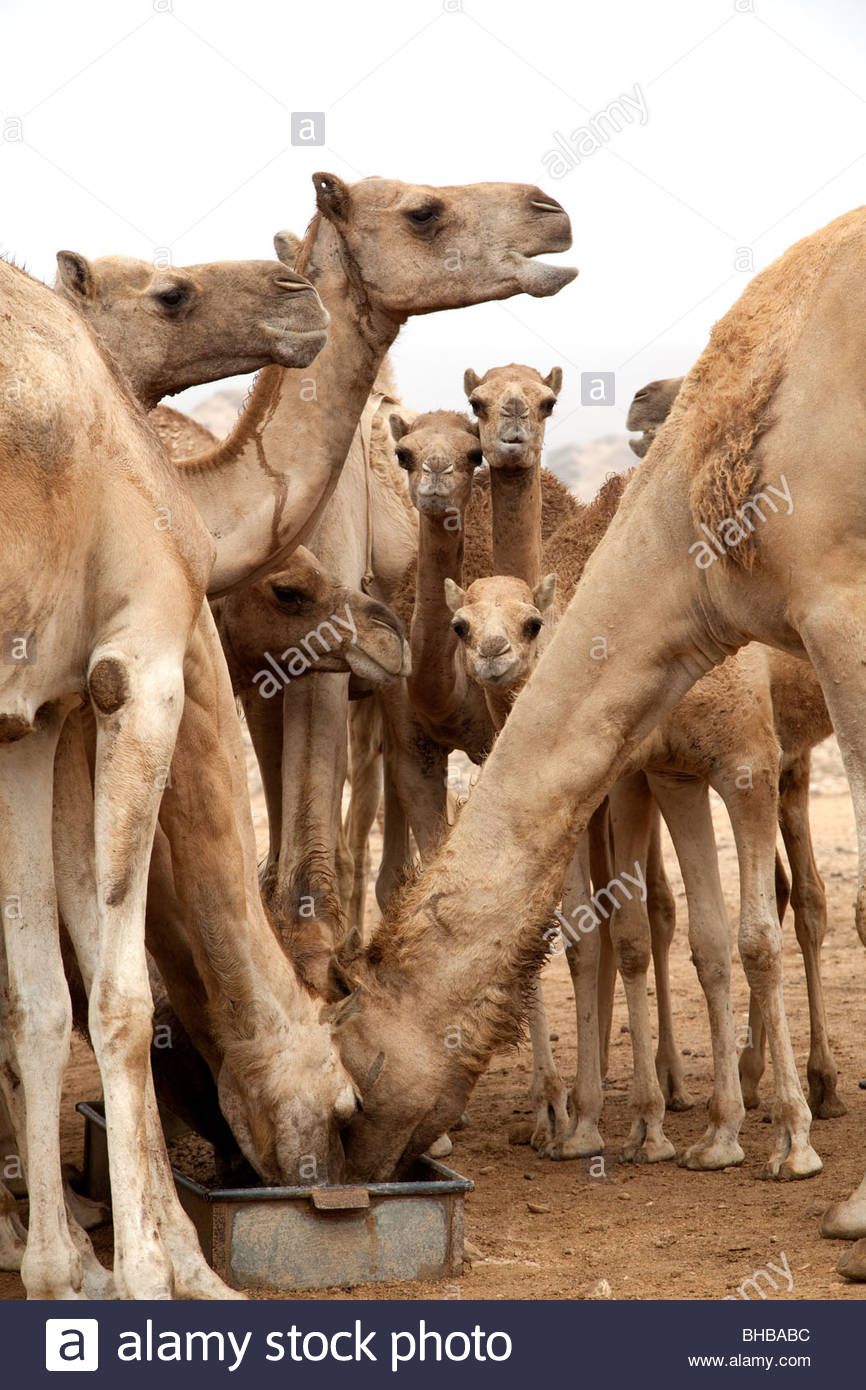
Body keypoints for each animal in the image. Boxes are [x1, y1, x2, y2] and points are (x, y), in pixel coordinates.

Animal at [331, 212, 866, 1268]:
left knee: (808, 905)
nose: (351, 1156)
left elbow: (743, 929)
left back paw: (812, 1095)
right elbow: (679, 931)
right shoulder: (669, 774)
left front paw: (800, 1162)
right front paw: (690, 1132)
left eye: (354, 1053)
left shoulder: (818, 650)